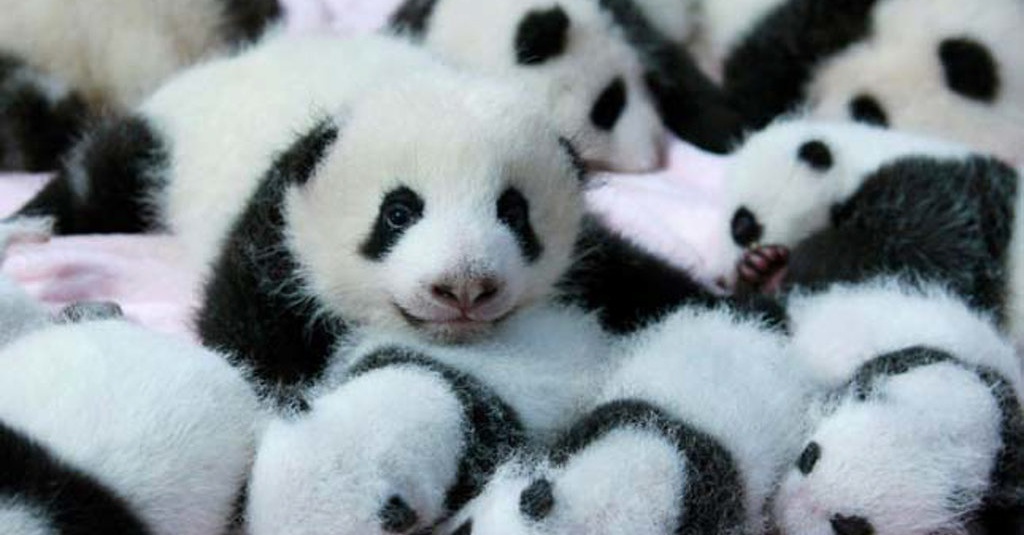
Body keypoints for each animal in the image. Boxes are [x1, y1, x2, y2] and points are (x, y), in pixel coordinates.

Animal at [707, 119, 1024, 349]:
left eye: (741, 224)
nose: (722, 278)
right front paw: (759, 269)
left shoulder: (938, 192)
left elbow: (940, 256)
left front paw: (785, 267)